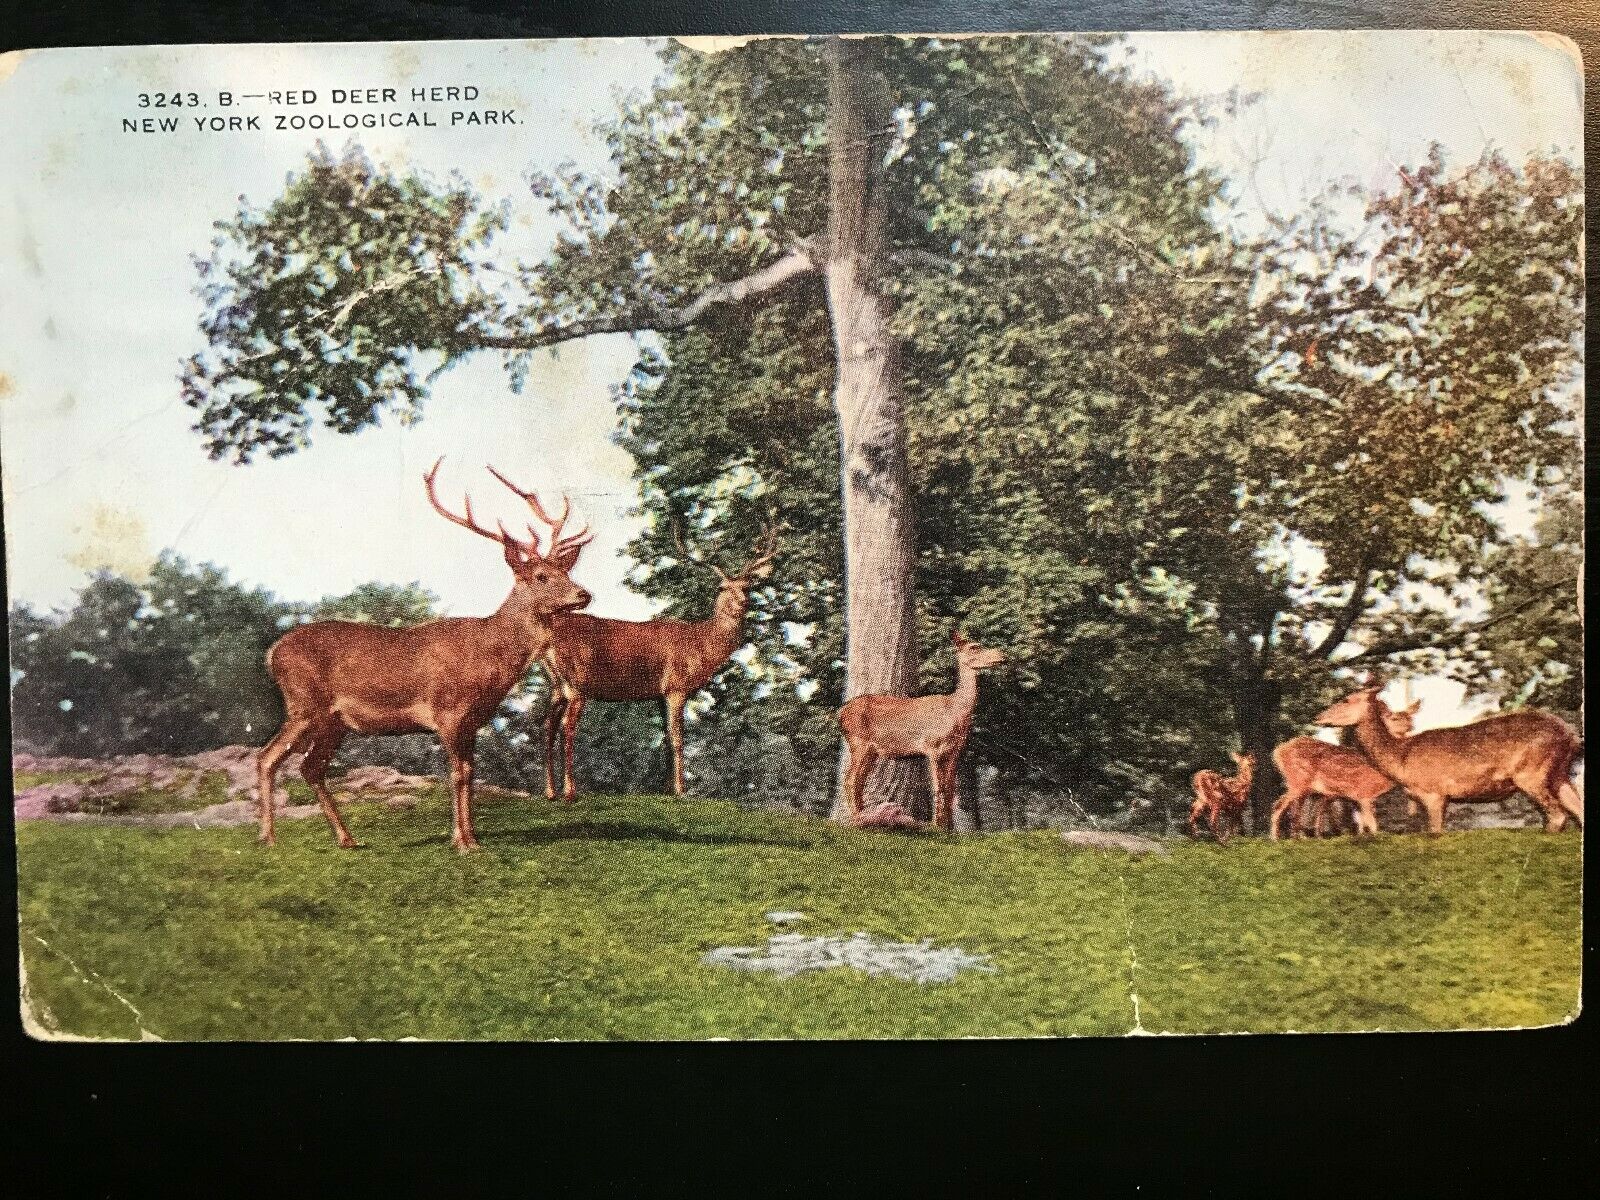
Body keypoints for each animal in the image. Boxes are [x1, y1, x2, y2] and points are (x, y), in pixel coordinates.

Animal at [257, 458, 593, 853]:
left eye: (566, 571)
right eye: (541, 576)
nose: (584, 594)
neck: (489, 662)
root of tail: (272, 652)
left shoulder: (473, 721)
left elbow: (470, 774)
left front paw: (470, 837)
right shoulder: (447, 713)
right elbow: (457, 775)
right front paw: (462, 841)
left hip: (333, 721)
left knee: (310, 767)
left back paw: (347, 838)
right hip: (303, 703)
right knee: (267, 757)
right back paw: (267, 837)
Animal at [540, 521, 779, 800]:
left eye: (747, 586)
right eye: (721, 588)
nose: (743, 603)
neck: (700, 647)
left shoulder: (658, 693)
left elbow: (665, 737)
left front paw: (665, 789)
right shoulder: (676, 686)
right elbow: (677, 738)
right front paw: (682, 791)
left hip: (557, 685)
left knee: (547, 726)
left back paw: (550, 791)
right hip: (577, 683)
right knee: (566, 727)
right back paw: (570, 791)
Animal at [838, 630, 1006, 832]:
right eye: (974, 647)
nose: (1002, 655)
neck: (954, 711)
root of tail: (840, 713)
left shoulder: (955, 751)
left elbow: (950, 789)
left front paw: (950, 829)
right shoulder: (932, 746)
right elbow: (937, 787)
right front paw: (937, 827)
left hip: (871, 750)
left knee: (859, 780)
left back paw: (865, 816)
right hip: (858, 741)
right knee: (850, 779)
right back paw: (857, 819)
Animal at [1268, 700, 1420, 841]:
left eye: (1410, 717)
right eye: (1394, 718)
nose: (1410, 726)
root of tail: (1278, 751)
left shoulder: (1356, 798)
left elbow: (1361, 823)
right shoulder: (1364, 793)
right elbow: (1372, 825)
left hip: (1301, 786)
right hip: (1298, 781)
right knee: (1280, 806)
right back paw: (1277, 839)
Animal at [1315, 685, 1584, 835]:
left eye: (1346, 699)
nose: (1319, 717)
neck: (1400, 759)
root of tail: (1570, 736)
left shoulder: (1433, 792)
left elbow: (1435, 831)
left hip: (1531, 773)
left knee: (1558, 816)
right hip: (1560, 775)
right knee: (1577, 810)